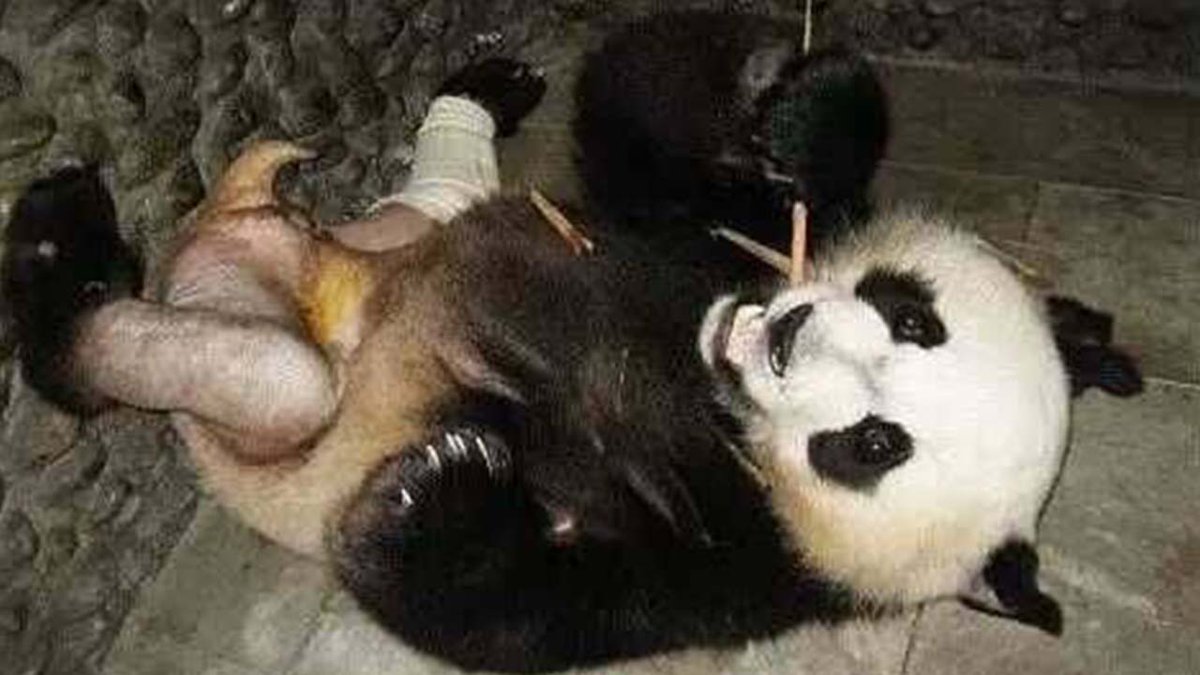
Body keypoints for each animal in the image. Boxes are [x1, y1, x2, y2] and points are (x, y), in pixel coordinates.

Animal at [1, 60, 1140, 674]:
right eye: (912, 315)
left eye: (869, 446)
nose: (785, 335)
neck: (701, 378)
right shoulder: (686, 243)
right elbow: (676, 174)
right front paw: (803, 121)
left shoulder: (751, 562)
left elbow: (534, 611)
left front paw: (435, 490)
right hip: (401, 230)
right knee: (438, 191)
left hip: (266, 384)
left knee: (157, 362)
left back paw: (64, 262)